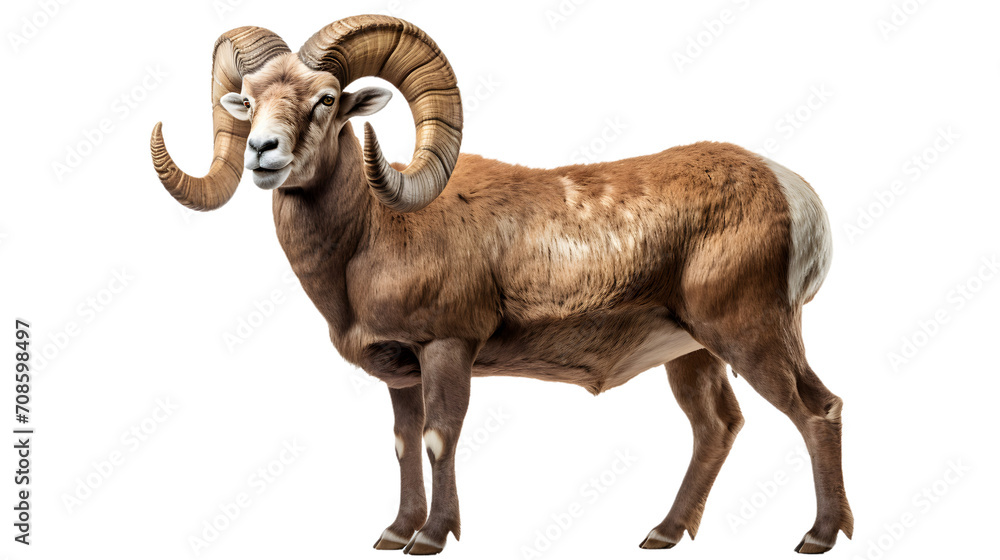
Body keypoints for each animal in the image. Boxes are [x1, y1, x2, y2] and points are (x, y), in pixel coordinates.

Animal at [149, 15, 852, 555]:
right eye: (249, 100)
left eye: (326, 100)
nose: (262, 152)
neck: (374, 235)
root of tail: (794, 193)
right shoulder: (402, 373)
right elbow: (405, 446)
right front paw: (395, 532)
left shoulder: (448, 350)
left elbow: (439, 440)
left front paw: (431, 538)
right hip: (694, 355)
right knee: (717, 428)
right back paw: (663, 534)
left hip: (750, 336)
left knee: (817, 410)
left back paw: (818, 537)